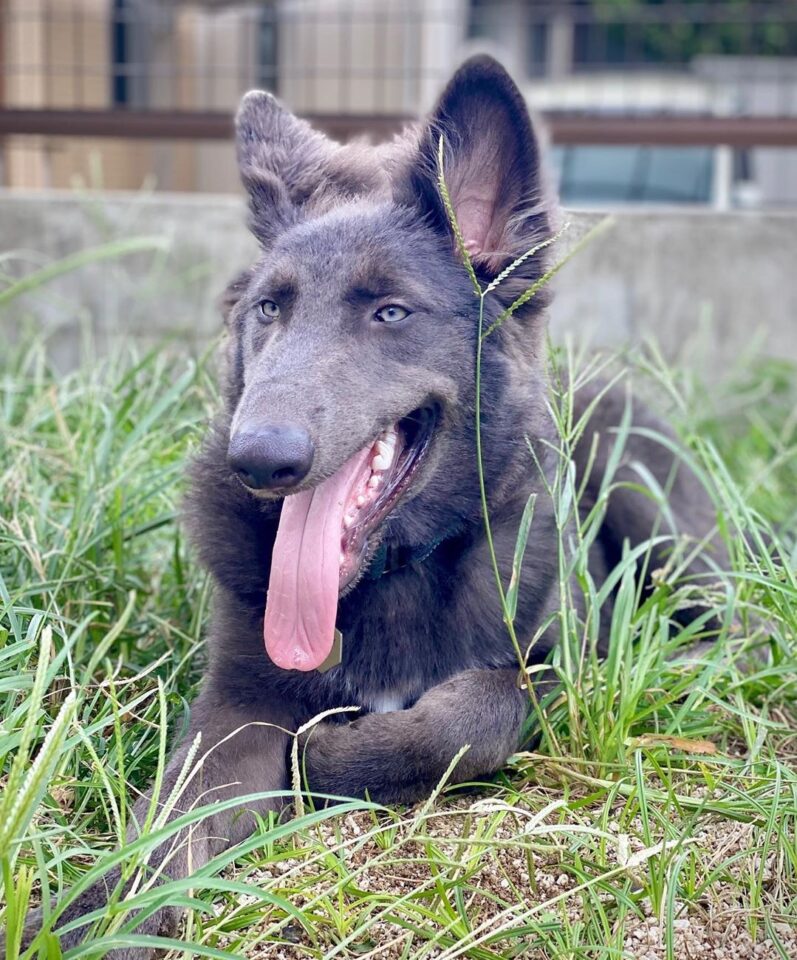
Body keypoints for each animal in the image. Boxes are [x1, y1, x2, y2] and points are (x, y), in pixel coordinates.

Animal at [17, 55, 722, 956]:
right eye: (269, 309)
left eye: (390, 311)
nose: (257, 459)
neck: (393, 572)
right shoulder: (237, 705)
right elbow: (169, 820)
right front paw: (97, 915)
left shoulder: (564, 667)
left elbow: (474, 713)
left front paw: (333, 757)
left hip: (647, 498)